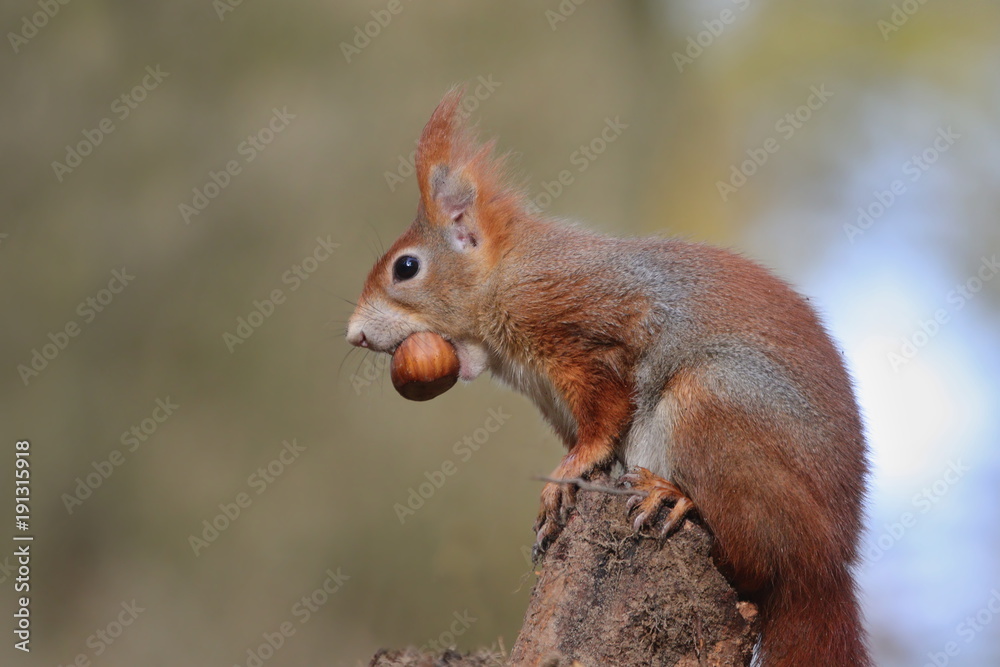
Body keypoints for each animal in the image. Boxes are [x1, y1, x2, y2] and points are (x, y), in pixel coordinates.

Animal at [346, 88, 872, 666]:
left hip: (716, 401)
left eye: (406, 268)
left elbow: (604, 416)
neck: (506, 278)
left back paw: (674, 495)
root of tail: (827, 567)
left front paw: (566, 474)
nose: (353, 334)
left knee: (752, 558)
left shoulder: (590, 328)